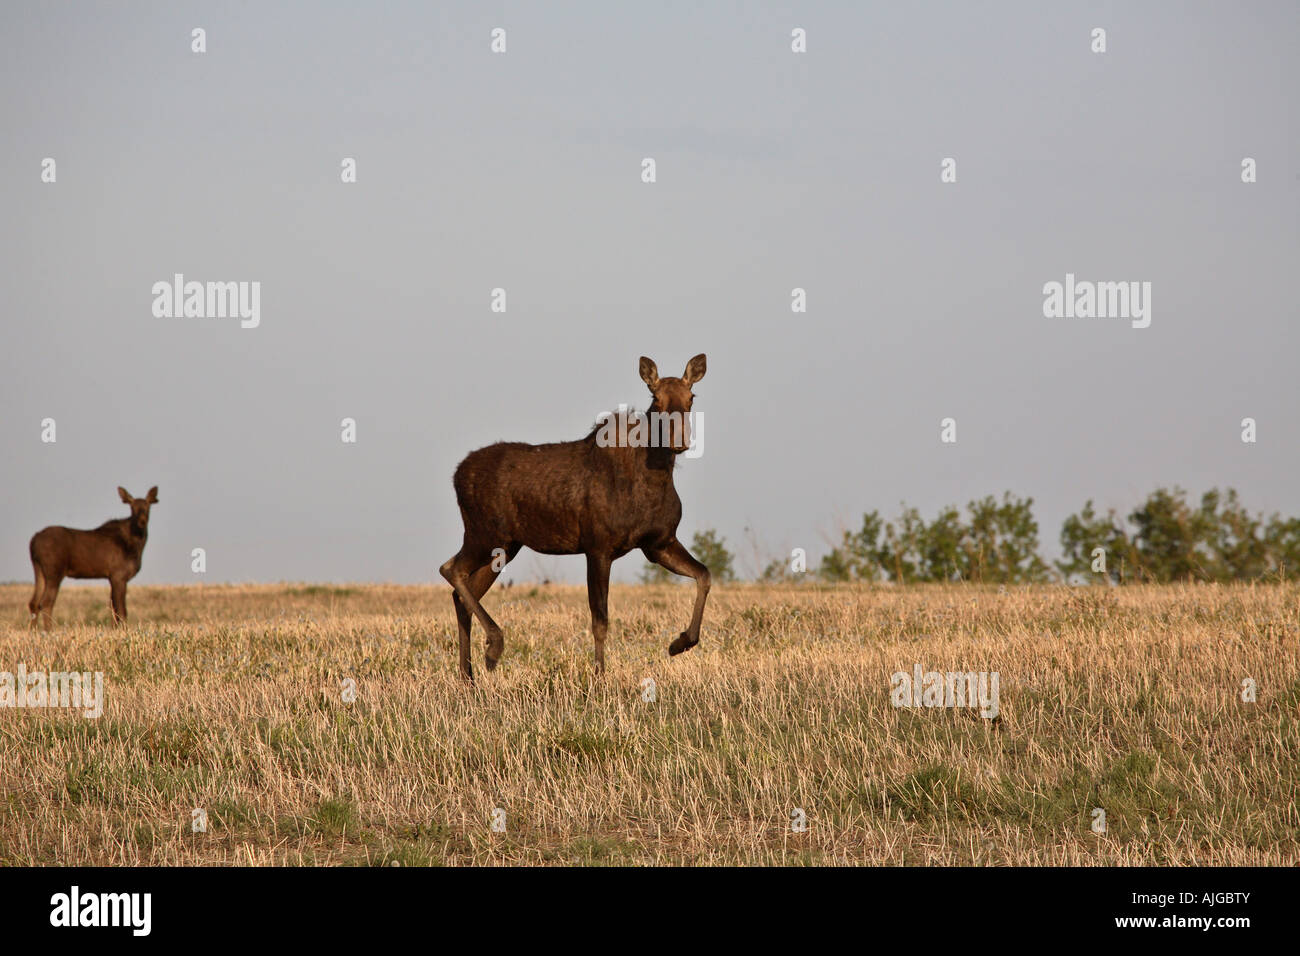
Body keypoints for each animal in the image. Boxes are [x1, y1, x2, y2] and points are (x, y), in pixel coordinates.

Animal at [28, 486, 159, 630]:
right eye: (132, 507)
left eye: (147, 506)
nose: (142, 521)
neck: (137, 546)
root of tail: (33, 541)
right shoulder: (118, 575)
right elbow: (121, 610)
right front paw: (124, 629)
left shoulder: (112, 577)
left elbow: (113, 608)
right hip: (54, 570)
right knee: (46, 602)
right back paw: (49, 630)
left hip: (39, 569)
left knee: (34, 603)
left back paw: (33, 630)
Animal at [440, 354, 710, 681]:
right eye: (655, 398)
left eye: (691, 397)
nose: (678, 439)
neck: (655, 478)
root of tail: (456, 475)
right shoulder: (598, 548)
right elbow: (600, 620)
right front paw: (599, 678)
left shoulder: (659, 544)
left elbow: (704, 575)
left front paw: (680, 642)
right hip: (485, 534)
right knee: (450, 569)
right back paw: (493, 647)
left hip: (504, 546)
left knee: (460, 594)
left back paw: (468, 677)